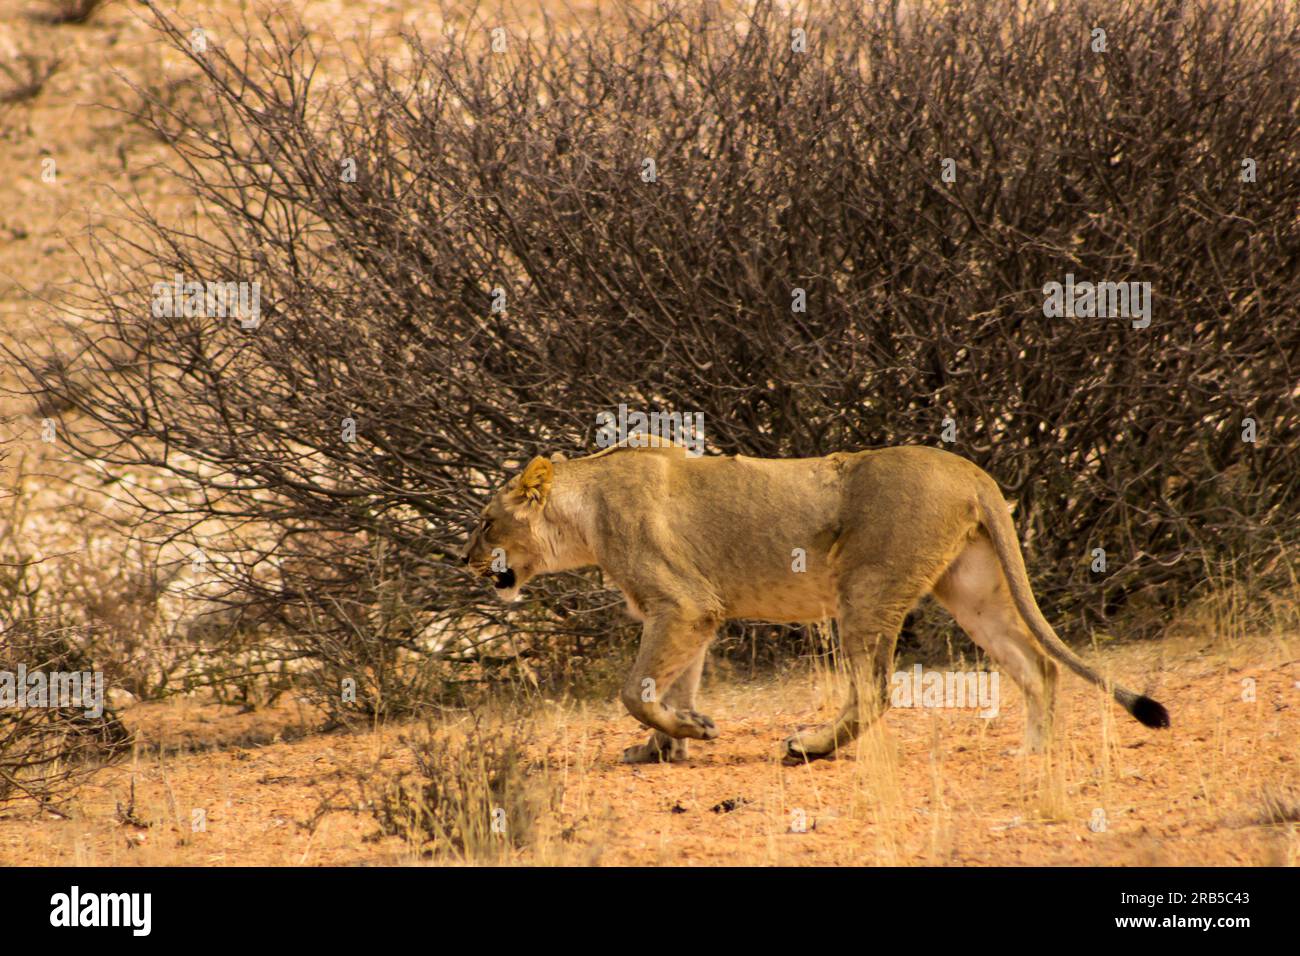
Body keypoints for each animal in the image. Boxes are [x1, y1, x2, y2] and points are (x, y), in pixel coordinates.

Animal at [460, 441, 1170, 764]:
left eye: (486, 522)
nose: (464, 560)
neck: (583, 514)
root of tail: (972, 471)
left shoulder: (683, 604)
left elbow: (635, 691)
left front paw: (689, 733)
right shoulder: (696, 616)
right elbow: (670, 688)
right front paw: (666, 746)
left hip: (866, 593)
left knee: (875, 693)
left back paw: (810, 747)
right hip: (973, 593)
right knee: (1039, 666)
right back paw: (1032, 755)